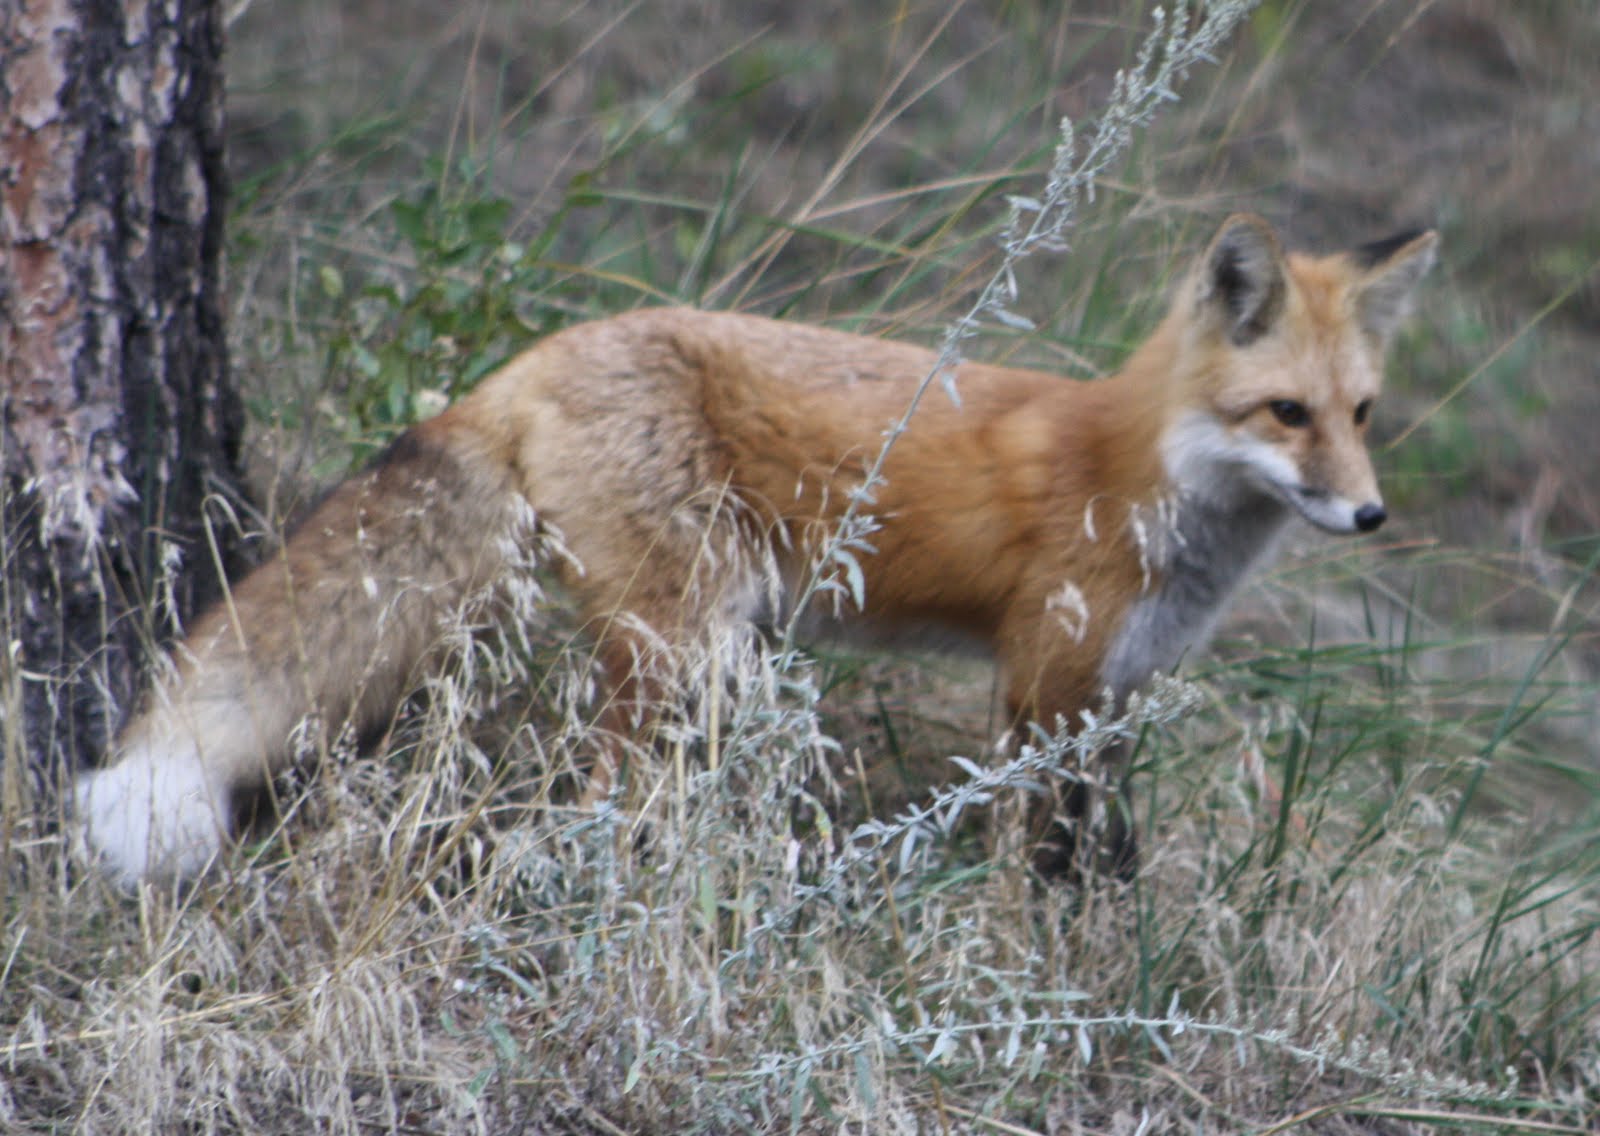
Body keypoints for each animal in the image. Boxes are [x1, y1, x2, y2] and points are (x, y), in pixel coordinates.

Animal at [74, 213, 1437, 887]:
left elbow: (1098, 850)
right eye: (1286, 414)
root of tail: (533, 357)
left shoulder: (1113, 693)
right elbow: (1030, 862)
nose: (1371, 516)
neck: (1141, 474)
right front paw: (1029, 963)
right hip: (681, 644)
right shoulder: (1041, 678)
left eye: (1362, 414)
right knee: (600, 799)